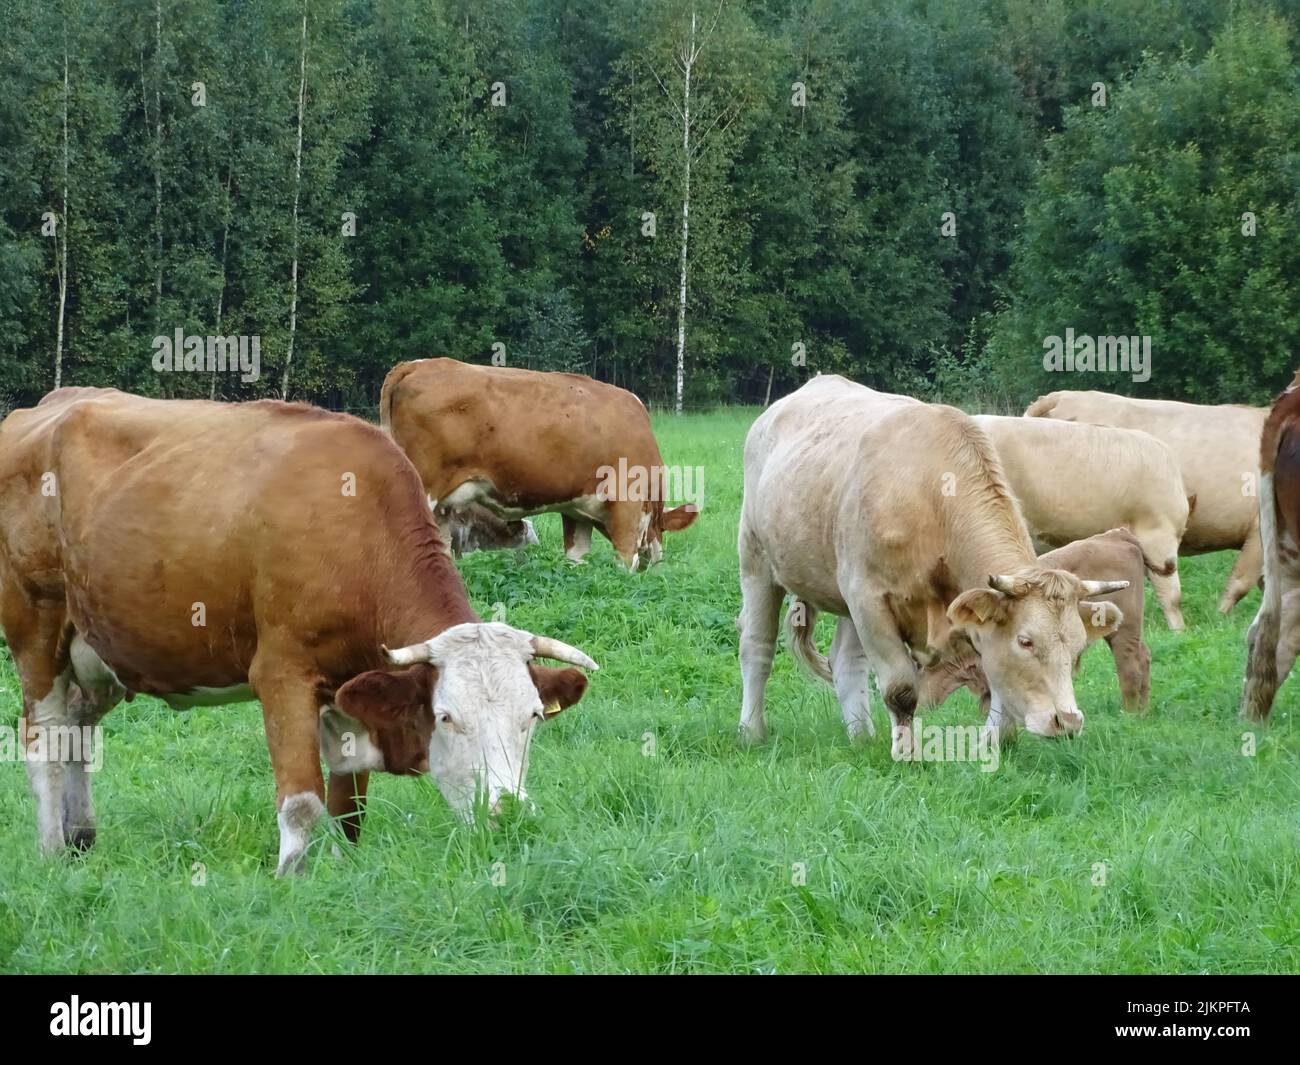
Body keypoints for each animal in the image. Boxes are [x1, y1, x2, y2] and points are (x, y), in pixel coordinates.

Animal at [0, 387, 597, 875]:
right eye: (447, 717)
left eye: (533, 717)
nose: (507, 815)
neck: (359, 539)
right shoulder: (282, 675)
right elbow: (302, 801)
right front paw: (293, 877)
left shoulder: (352, 686)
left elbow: (349, 805)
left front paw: (342, 871)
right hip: (36, 628)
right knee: (44, 737)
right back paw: (52, 852)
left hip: (98, 648)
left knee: (78, 731)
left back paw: (82, 839)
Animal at [380, 358, 698, 570]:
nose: (653, 566)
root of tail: (418, 365)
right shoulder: (627, 505)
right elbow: (624, 558)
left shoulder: (576, 510)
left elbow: (576, 555)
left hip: (444, 508)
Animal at [738, 375, 1126, 759]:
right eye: (1026, 641)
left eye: (1078, 646)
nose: (1067, 721)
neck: (932, 501)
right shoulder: (869, 599)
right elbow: (900, 689)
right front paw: (906, 755)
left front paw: (991, 744)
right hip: (756, 560)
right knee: (757, 648)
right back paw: (751, 731)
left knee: (846, 662)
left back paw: (861, 737)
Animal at [918, 528, 1151, 715]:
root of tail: (1115, 535)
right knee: (1144, 656)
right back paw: (1142, 710)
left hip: (1125, 631)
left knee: (1130, 666)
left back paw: (1130, 714)